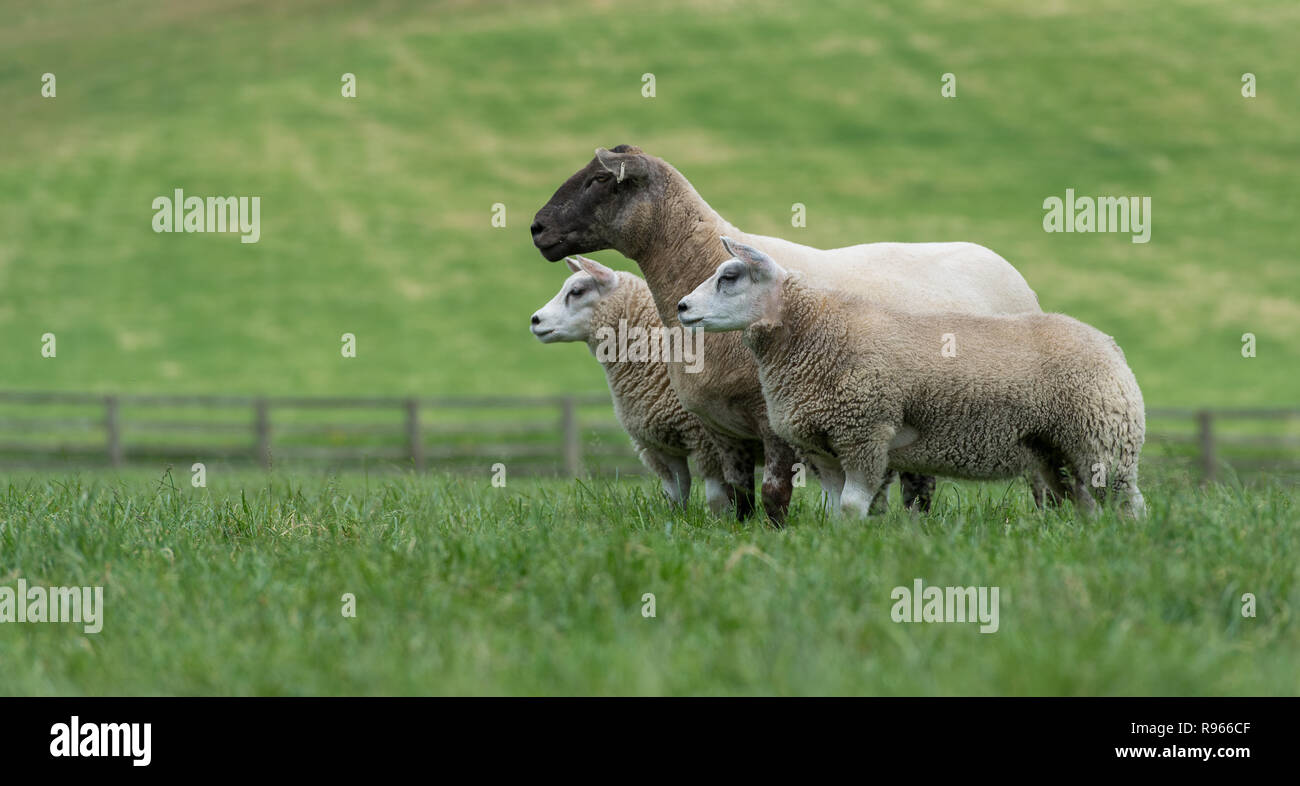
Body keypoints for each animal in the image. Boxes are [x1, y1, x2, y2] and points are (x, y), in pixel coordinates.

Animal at [530, 255, 733, 513]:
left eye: (576, 291)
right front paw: (676, 518)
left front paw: (726, 520)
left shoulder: (708, 440)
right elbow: (675, 493)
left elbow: (716, 497)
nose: (535, 320)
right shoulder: (658, 446)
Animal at [675, 238, 1146, 518]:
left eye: (729, 277)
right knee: (1083, 502)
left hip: (1105, 441)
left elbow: (853, 506)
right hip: (1057, 451)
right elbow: (836, 507)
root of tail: (1109, 343)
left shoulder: (865, 433)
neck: (816, 334)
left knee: (1129, 503)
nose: (681, 307)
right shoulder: (823, 447)